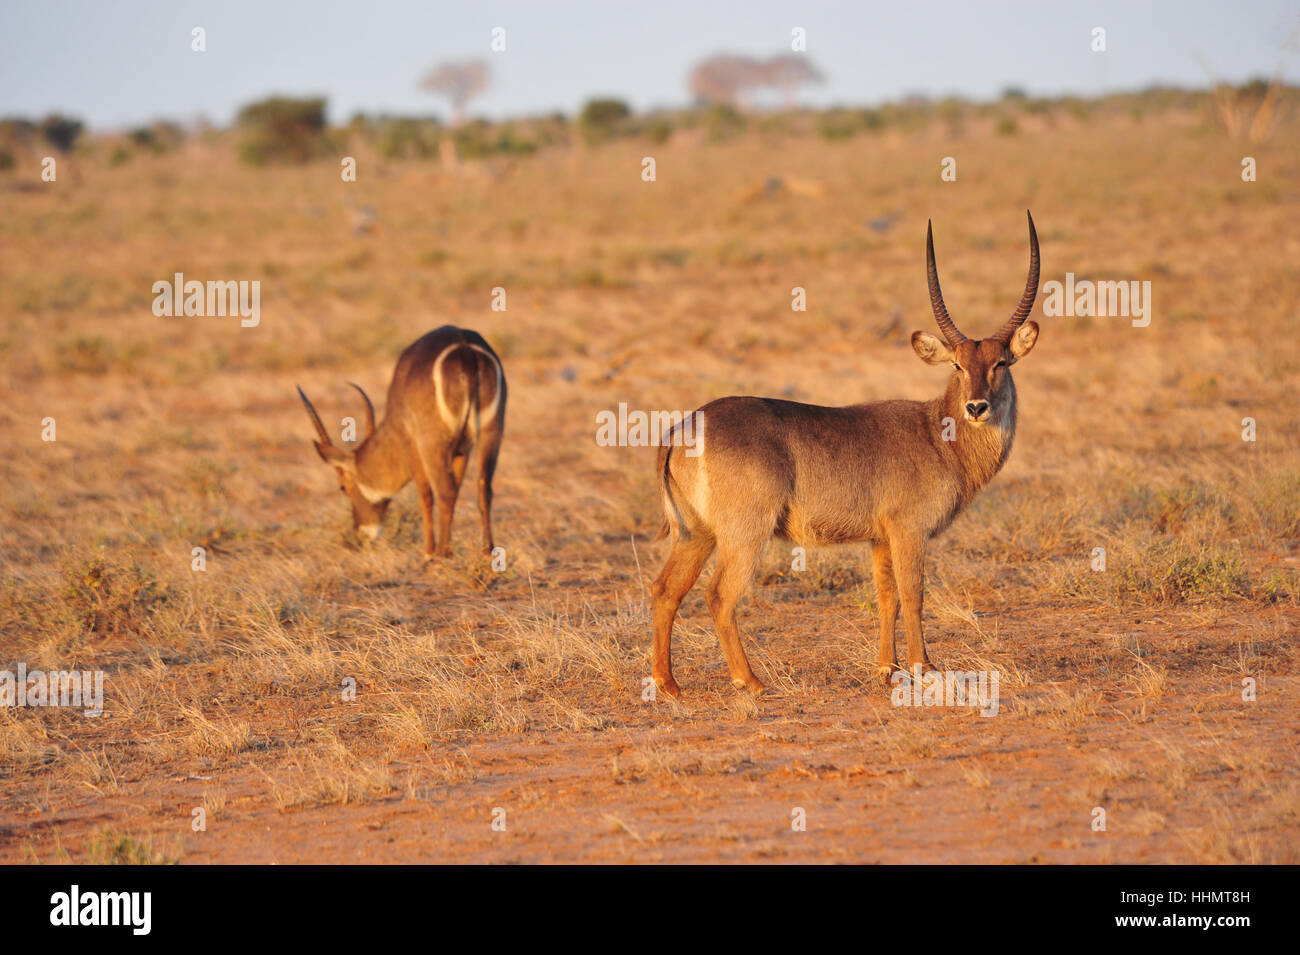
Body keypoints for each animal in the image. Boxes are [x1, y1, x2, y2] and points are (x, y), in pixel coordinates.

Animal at [297, 325, 506, 559]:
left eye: (342, 486)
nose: (361, 534)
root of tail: (465, 349)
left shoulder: (412, 444)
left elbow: (425, 494)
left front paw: (429, 552)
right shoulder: (463, 450)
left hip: (433, 443)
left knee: (445, 492)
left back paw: (440, 555)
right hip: (492, 434)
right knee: (484, 489)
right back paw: (487, 551)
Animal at [650, 212, 1041, 699]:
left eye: (1000, 363)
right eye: (957, 365)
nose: (977, 407)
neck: (939, 435)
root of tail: (684, 426)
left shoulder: (879, 538)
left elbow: (886, 597)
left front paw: (887, 668)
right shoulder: (910, 531)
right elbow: (914, 593)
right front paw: (924, 667)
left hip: (696, 535)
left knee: (665, 591)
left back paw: (668, 684)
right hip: (743, 534)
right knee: (720, 595)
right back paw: (751, 681)